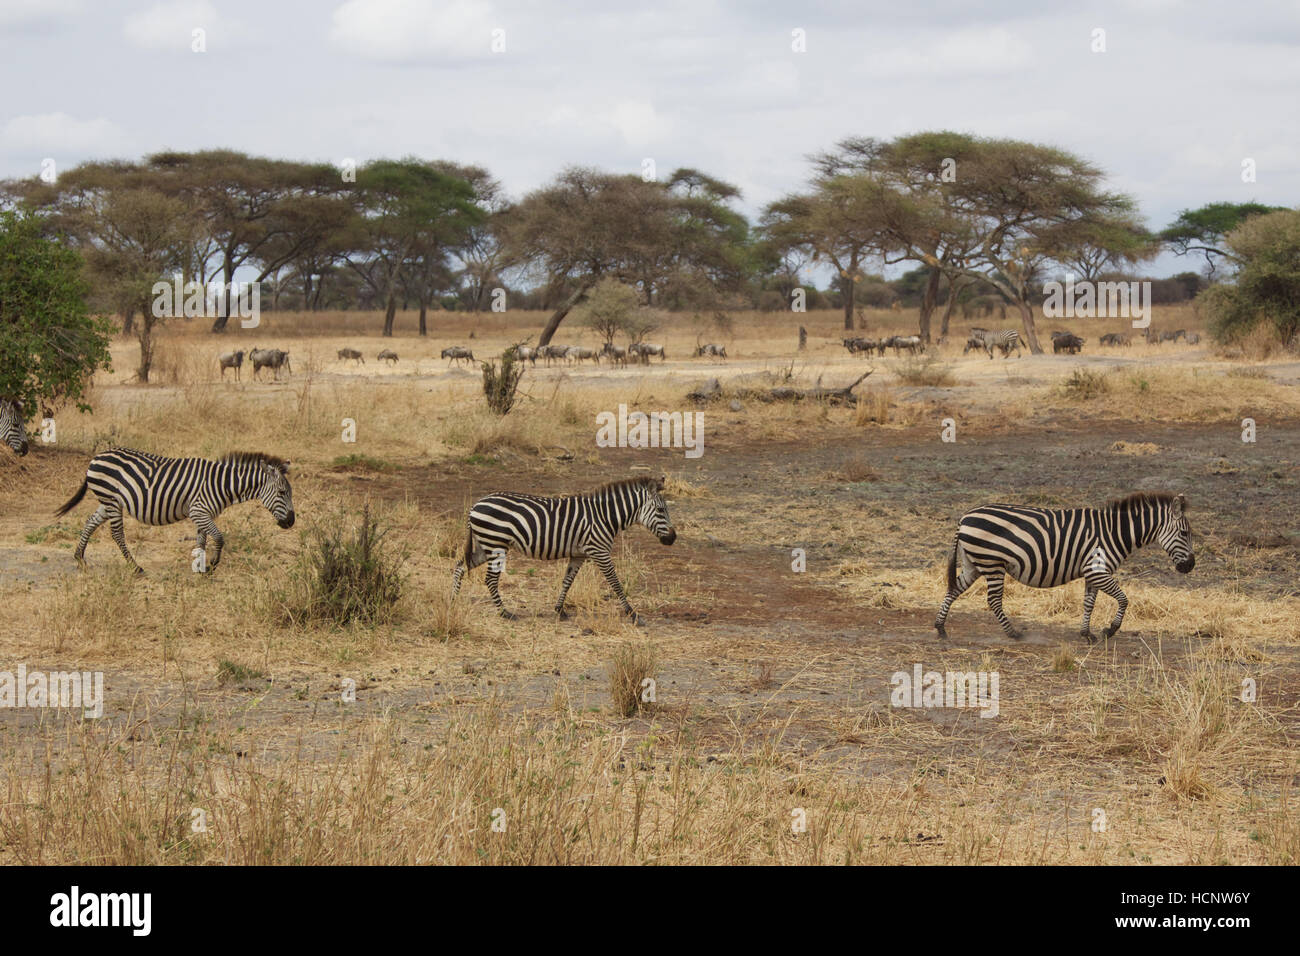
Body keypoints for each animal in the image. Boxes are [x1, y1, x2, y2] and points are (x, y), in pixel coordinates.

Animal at [54, 449, 295, 574]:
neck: (222, 484)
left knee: (90, 522)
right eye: (282, 492)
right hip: (111, 501)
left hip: (108, 501)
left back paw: (80, 558)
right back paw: (135, 567)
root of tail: (97, 456)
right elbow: (219, 537)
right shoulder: (198, 510)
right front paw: (213, 564)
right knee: (117, 534)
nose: (291, 522)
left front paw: (200, 567)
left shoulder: (203, 514)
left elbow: (201, 540)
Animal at [451, 476, 677, 625]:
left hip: (485, 545)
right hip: (496, 544)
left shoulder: (578, 555)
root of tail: (475, 505)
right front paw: (632, 614)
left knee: (459, 567)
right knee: (489, 579)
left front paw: (559, 610)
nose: (673, 538)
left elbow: (567, 581)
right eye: (660, 510)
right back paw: (505, 613)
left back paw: (453, 600)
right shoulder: (600, 551)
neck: (604, 516)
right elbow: (615, 582)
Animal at [933, 492, 1194, 643]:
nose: (1190, 566)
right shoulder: (1098, 570)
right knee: (994, 600)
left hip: (974, 564)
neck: (1115, 533)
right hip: (992, 563)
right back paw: (1013, 633)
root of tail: (964, 518)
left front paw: (1087, 634)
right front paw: (1110, 629)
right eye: (1184, 533)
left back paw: (940, 628)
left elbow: (1089, 603)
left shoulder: (1092, 573)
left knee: (953, 589)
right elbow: (1124, 599)